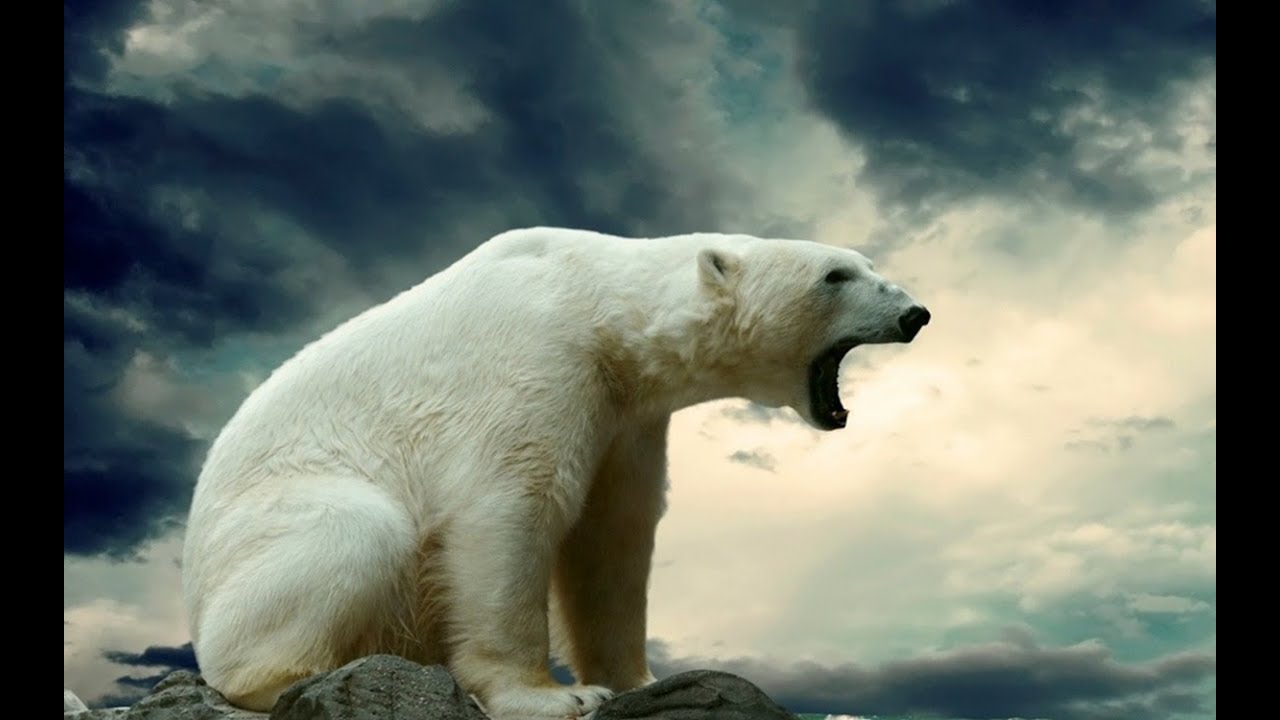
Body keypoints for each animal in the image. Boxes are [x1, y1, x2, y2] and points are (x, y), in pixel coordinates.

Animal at [180, 226, 930, 718]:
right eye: (835, 276)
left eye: (865, 262)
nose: (915, 312)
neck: (596, 304)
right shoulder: (536, 360)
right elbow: (510, 508)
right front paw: (552, 696)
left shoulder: (624, 413)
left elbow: (614, 537)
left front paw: (640, 680)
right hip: (273, 518)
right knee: (357, 530)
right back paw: (298, 678)